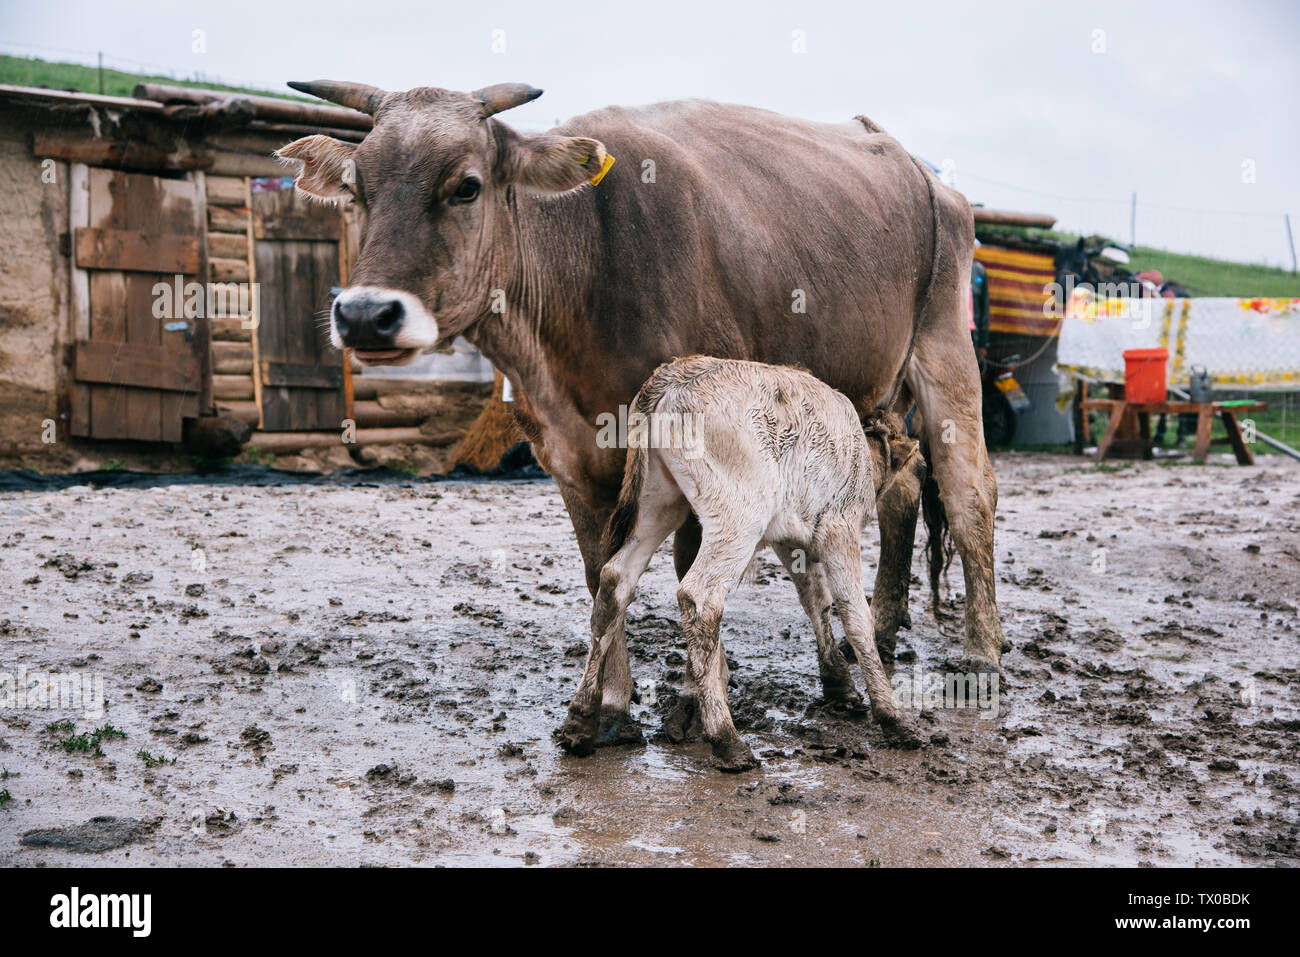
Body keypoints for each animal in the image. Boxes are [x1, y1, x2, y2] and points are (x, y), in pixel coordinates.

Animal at [557, 356, 923, 770]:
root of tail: (674, 375)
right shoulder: (838, 528)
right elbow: (856, 616)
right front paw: (892, 716)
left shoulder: (789, 537)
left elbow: (815, 598)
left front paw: (838, 684)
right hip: (739, 517)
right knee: (699, 596)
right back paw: (726, 738)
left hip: (660, 502)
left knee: (614, 581)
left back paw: (580, 717)